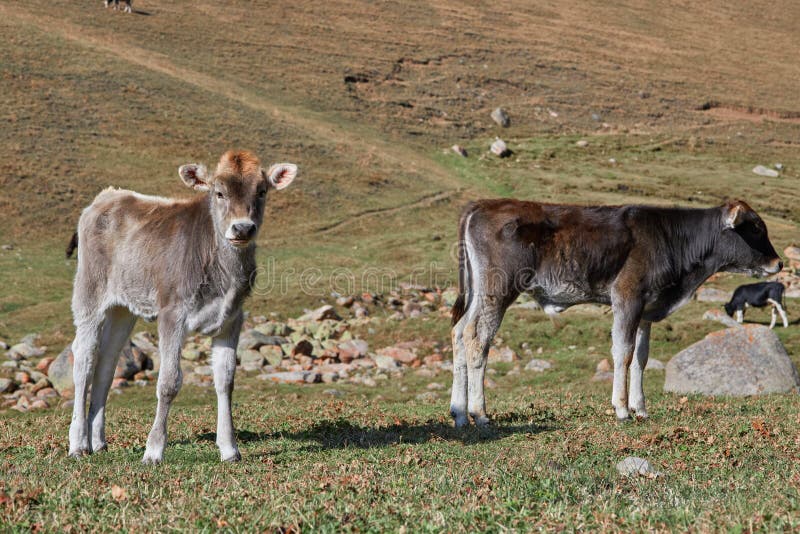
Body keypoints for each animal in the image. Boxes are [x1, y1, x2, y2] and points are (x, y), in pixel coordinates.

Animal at [68, 150, 297, 463]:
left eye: (261, 191)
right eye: (219, 193)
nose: (242, 228)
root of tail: (108, 195)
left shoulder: (232, 318)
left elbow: (225, 380)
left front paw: (230, 448)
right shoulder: (172, 314)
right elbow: (169, 382)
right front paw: (153, 450)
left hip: (122, 308)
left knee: (107, 361)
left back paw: (98, 442)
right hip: (90, 293)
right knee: (85, 359)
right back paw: (78, 444)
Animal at [450, 199, 782, 425]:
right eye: (755, 227)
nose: (778, 263)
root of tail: (483, 205)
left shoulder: (646, 308)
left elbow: (640, 357)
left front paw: (641, 407)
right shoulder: (627, 296)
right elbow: (623, 351)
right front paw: (622, 408)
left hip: (478, 292)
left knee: (458, 332)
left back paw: (459, 413)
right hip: (497, 289)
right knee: (477, 338)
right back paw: (479, 412)